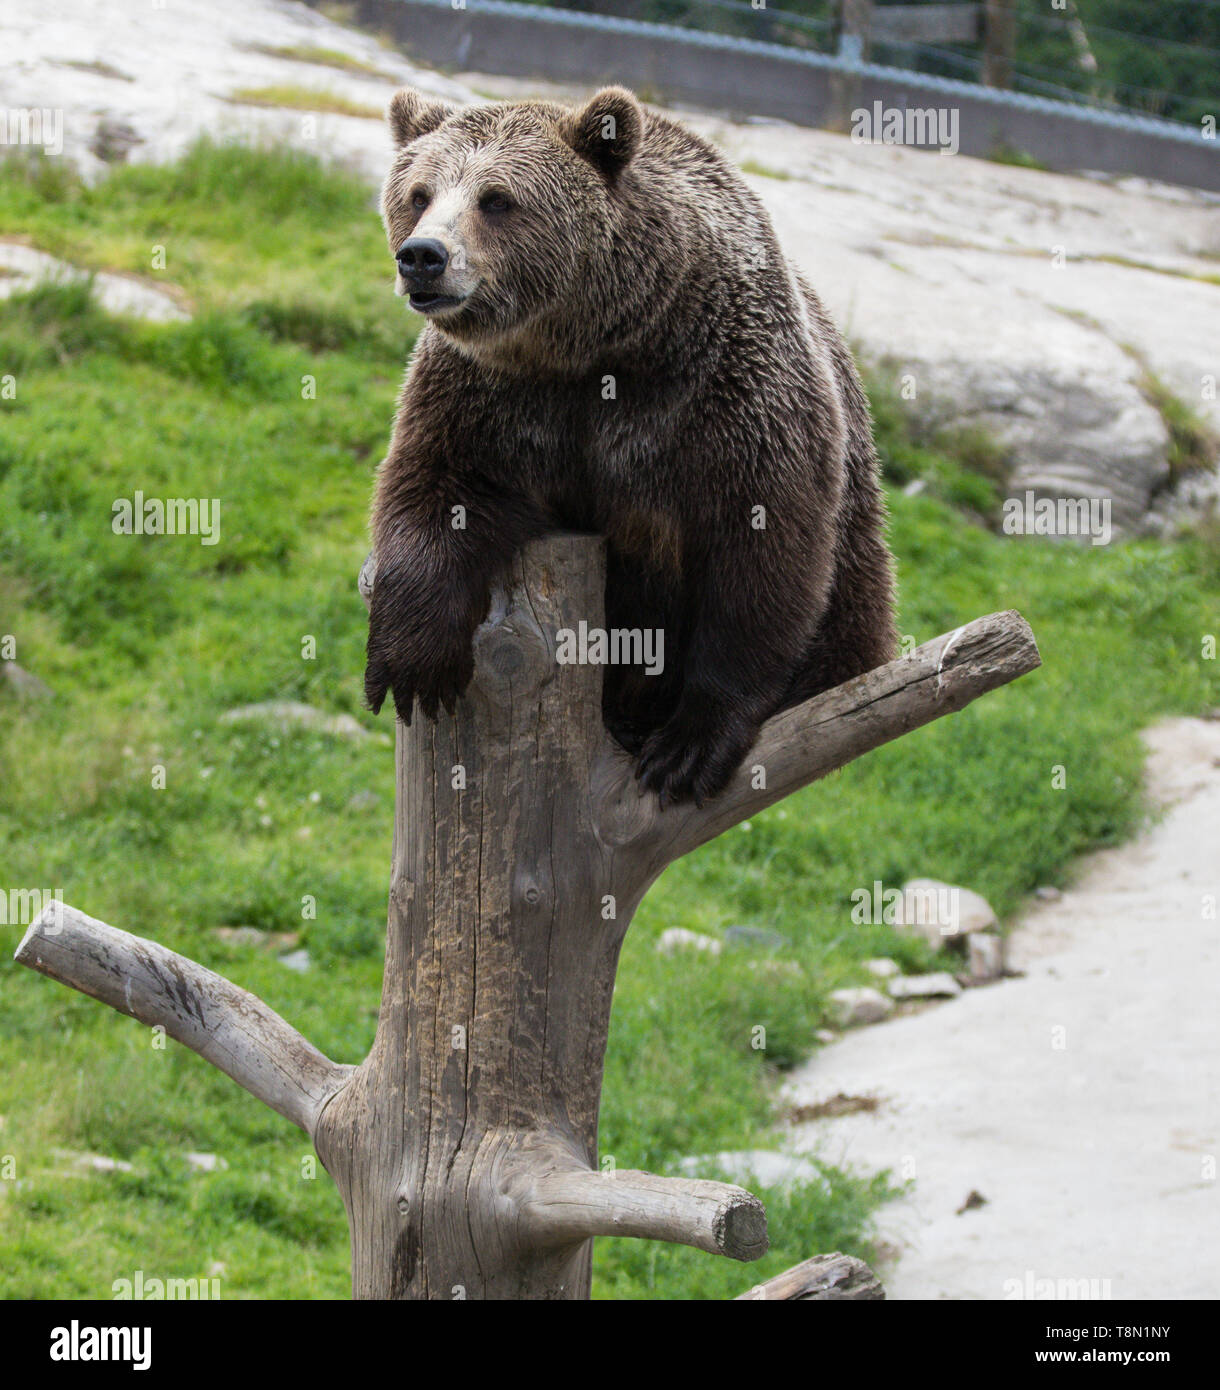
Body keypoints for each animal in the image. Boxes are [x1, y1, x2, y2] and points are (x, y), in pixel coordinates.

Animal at [364, 85, 898, 807]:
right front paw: (412, 660)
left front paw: (690, 745)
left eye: (497, 199)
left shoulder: (726, 389)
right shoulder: (492, 393)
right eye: (419, 193)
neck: (596, 344)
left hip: (860, 567)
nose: (424, 256)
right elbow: (438, 486)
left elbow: (760, 545)